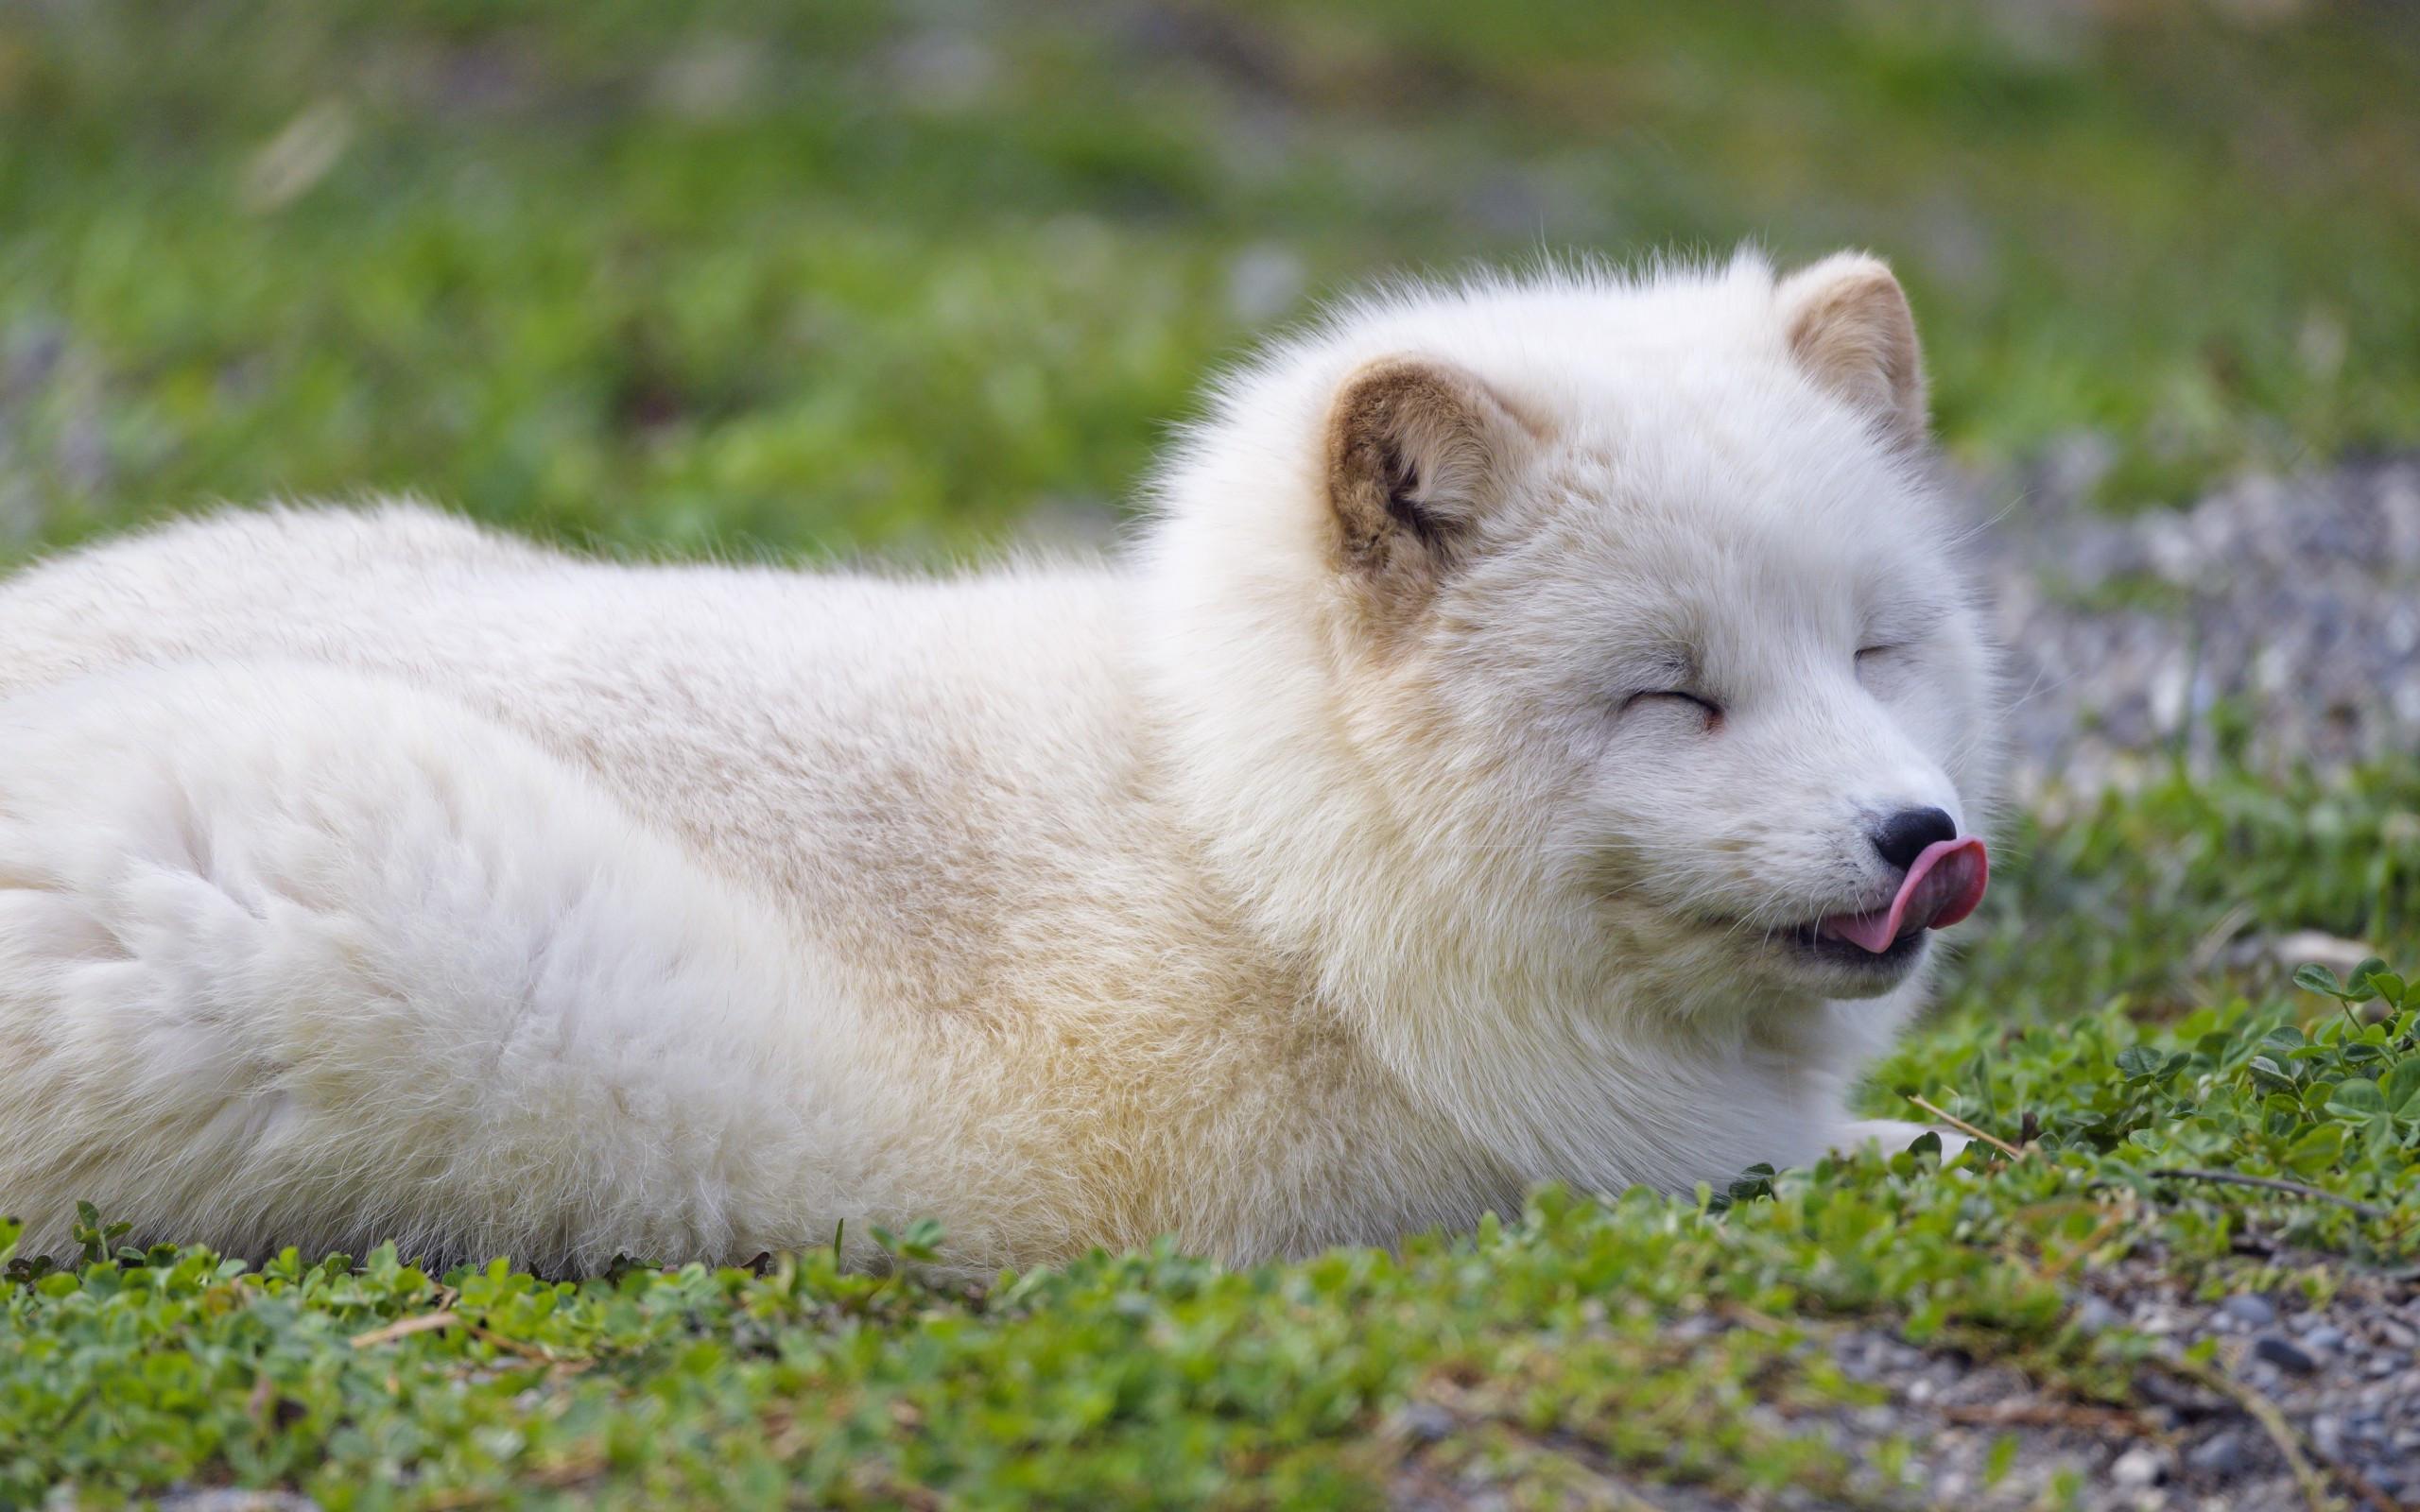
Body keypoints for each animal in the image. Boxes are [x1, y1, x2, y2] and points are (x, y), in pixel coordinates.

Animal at [0, 250, 1994, 1277]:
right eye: (1673, 695)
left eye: (1874, 650)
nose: (1922, 835)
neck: (1254, 844)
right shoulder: (1425, 1192)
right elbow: (1771, 1162)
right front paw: (1909, 1141)